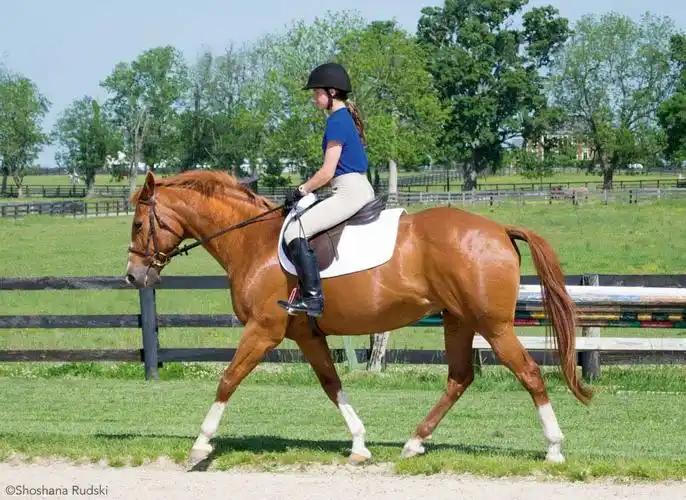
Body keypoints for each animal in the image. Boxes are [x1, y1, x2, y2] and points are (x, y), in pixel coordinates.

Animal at [124, 169, 592, 468]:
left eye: (137, 225)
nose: (133, 276)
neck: (252, 241)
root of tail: (498, 229)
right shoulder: (307, 335)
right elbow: (332, 385)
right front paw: (360, 444)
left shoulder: (263, 330)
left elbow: (227, 379)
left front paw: (201, 444)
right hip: (458, 321)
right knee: (459, 378)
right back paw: (414, 442)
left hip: (492, 326)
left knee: (529, 373)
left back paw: (554, 449)